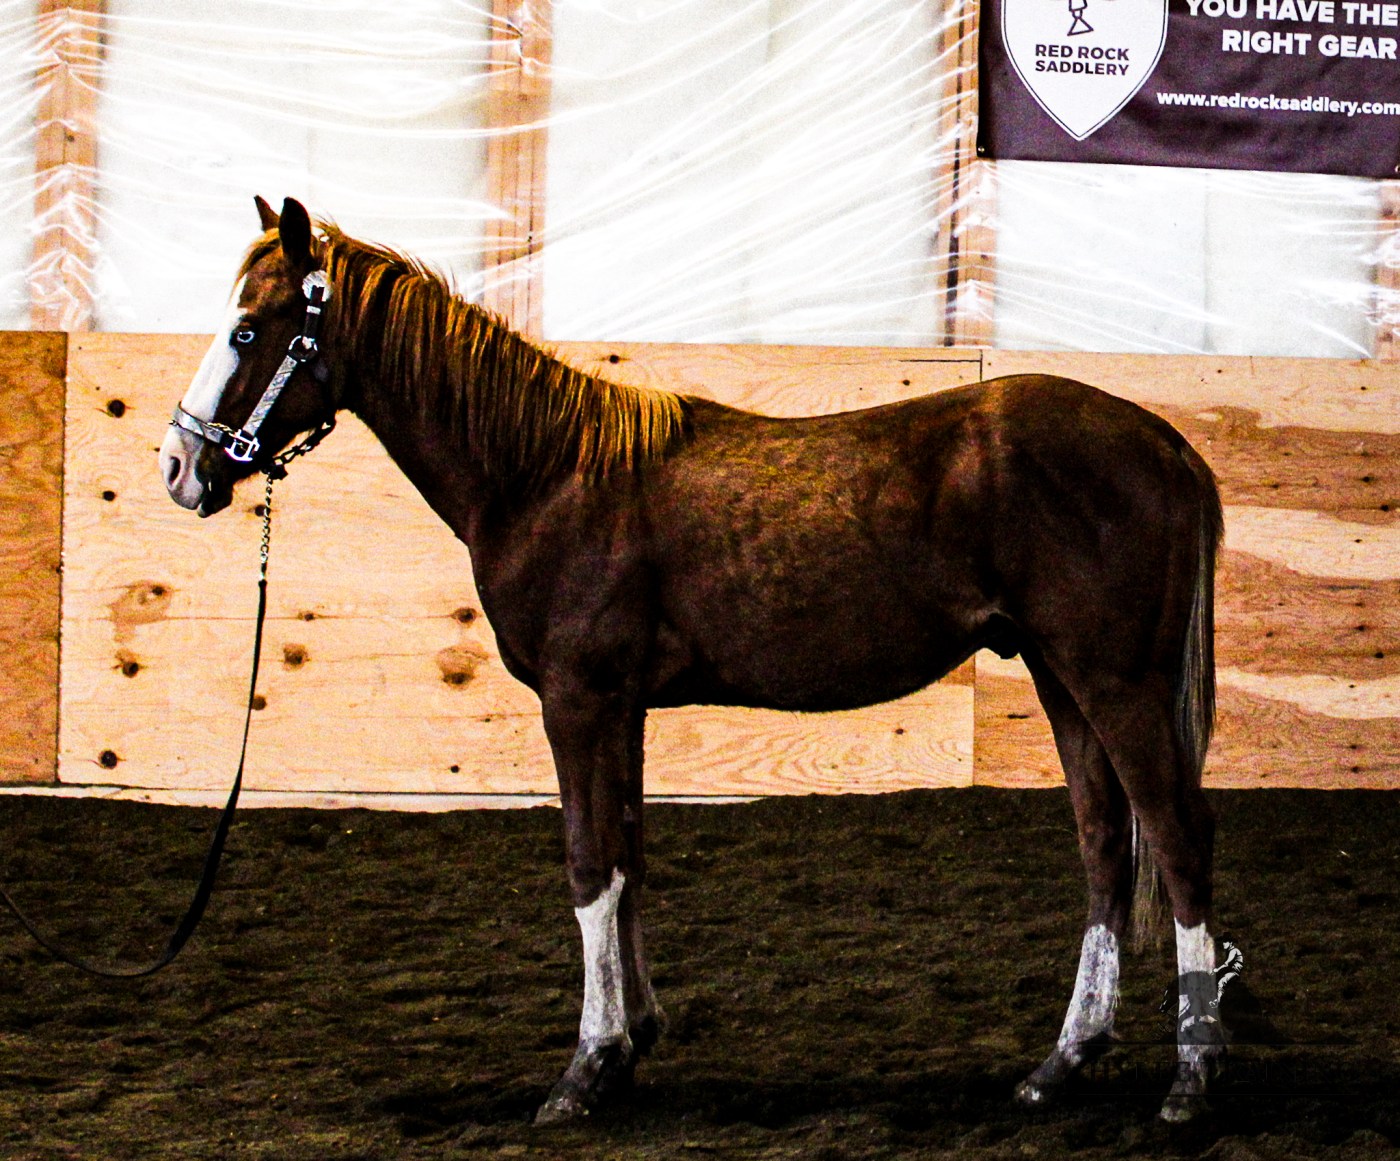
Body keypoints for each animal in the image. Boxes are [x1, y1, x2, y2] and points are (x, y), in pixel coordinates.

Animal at [159, 196, 1226, 1125]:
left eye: (248, 331)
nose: (181, 465)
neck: (545, 472)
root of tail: (1165, 445)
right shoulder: (621, 709)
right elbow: (628, 858)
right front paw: (630, 1042)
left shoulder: (578, 701)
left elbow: (588, 863)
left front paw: (584, 1071)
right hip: (1060, 677)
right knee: (1105, 845)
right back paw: (1063, 1062)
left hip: (1117, 684)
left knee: (1177, 841)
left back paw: (1192, 1079)